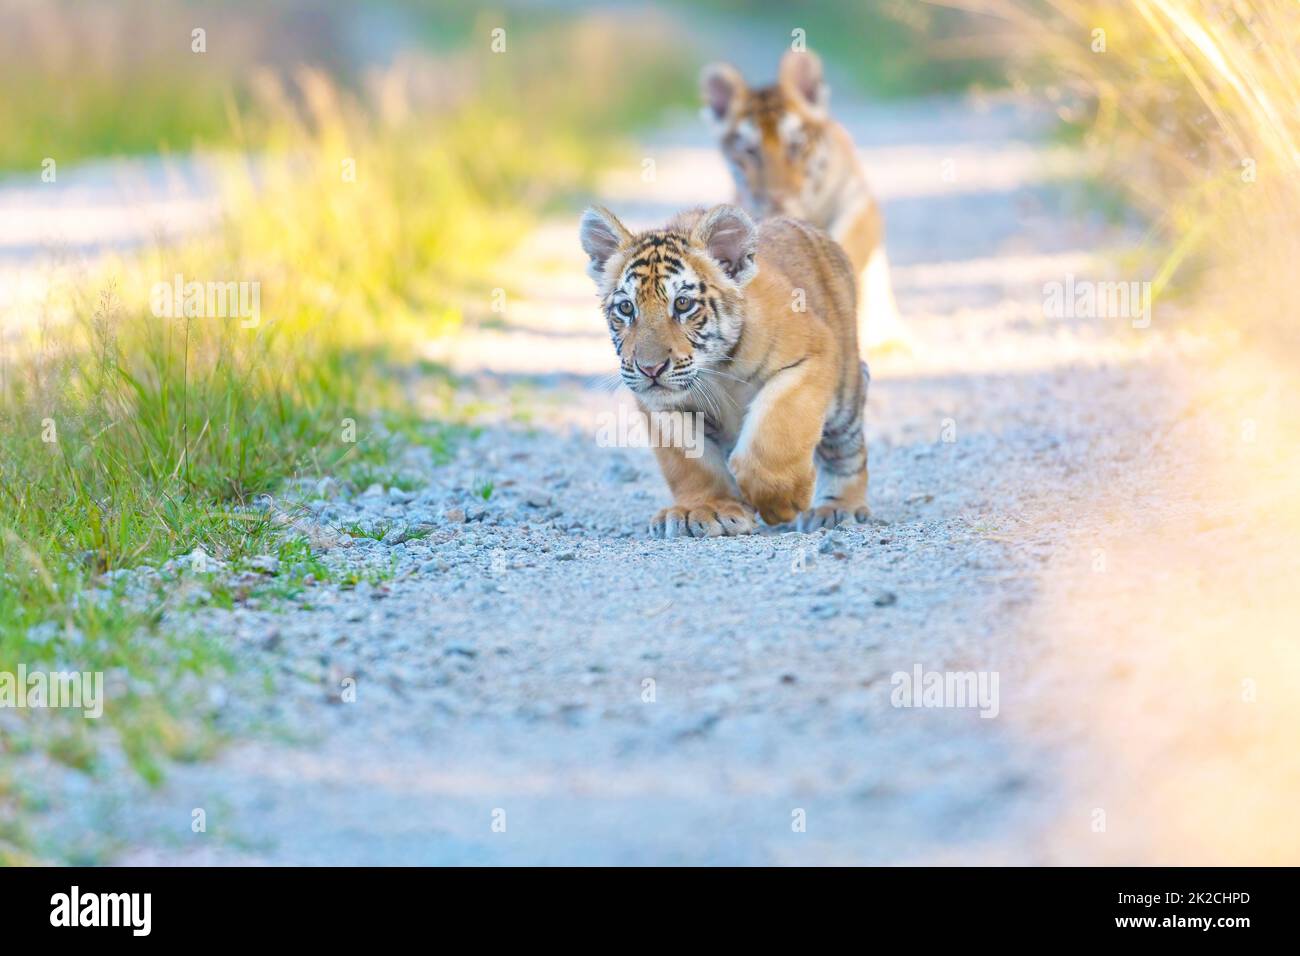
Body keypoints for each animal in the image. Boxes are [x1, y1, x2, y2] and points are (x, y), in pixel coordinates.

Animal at [579, 202, 870, 537]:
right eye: (626, 308)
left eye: (682, 304)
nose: (650, 368)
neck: (713, 369)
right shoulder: (659, 404)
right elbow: (689, 463)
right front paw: (705, 510)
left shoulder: (811, 355)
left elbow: (776, 431)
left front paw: (781, 500)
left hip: (845, 395)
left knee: (846, 451)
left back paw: (836, 509)